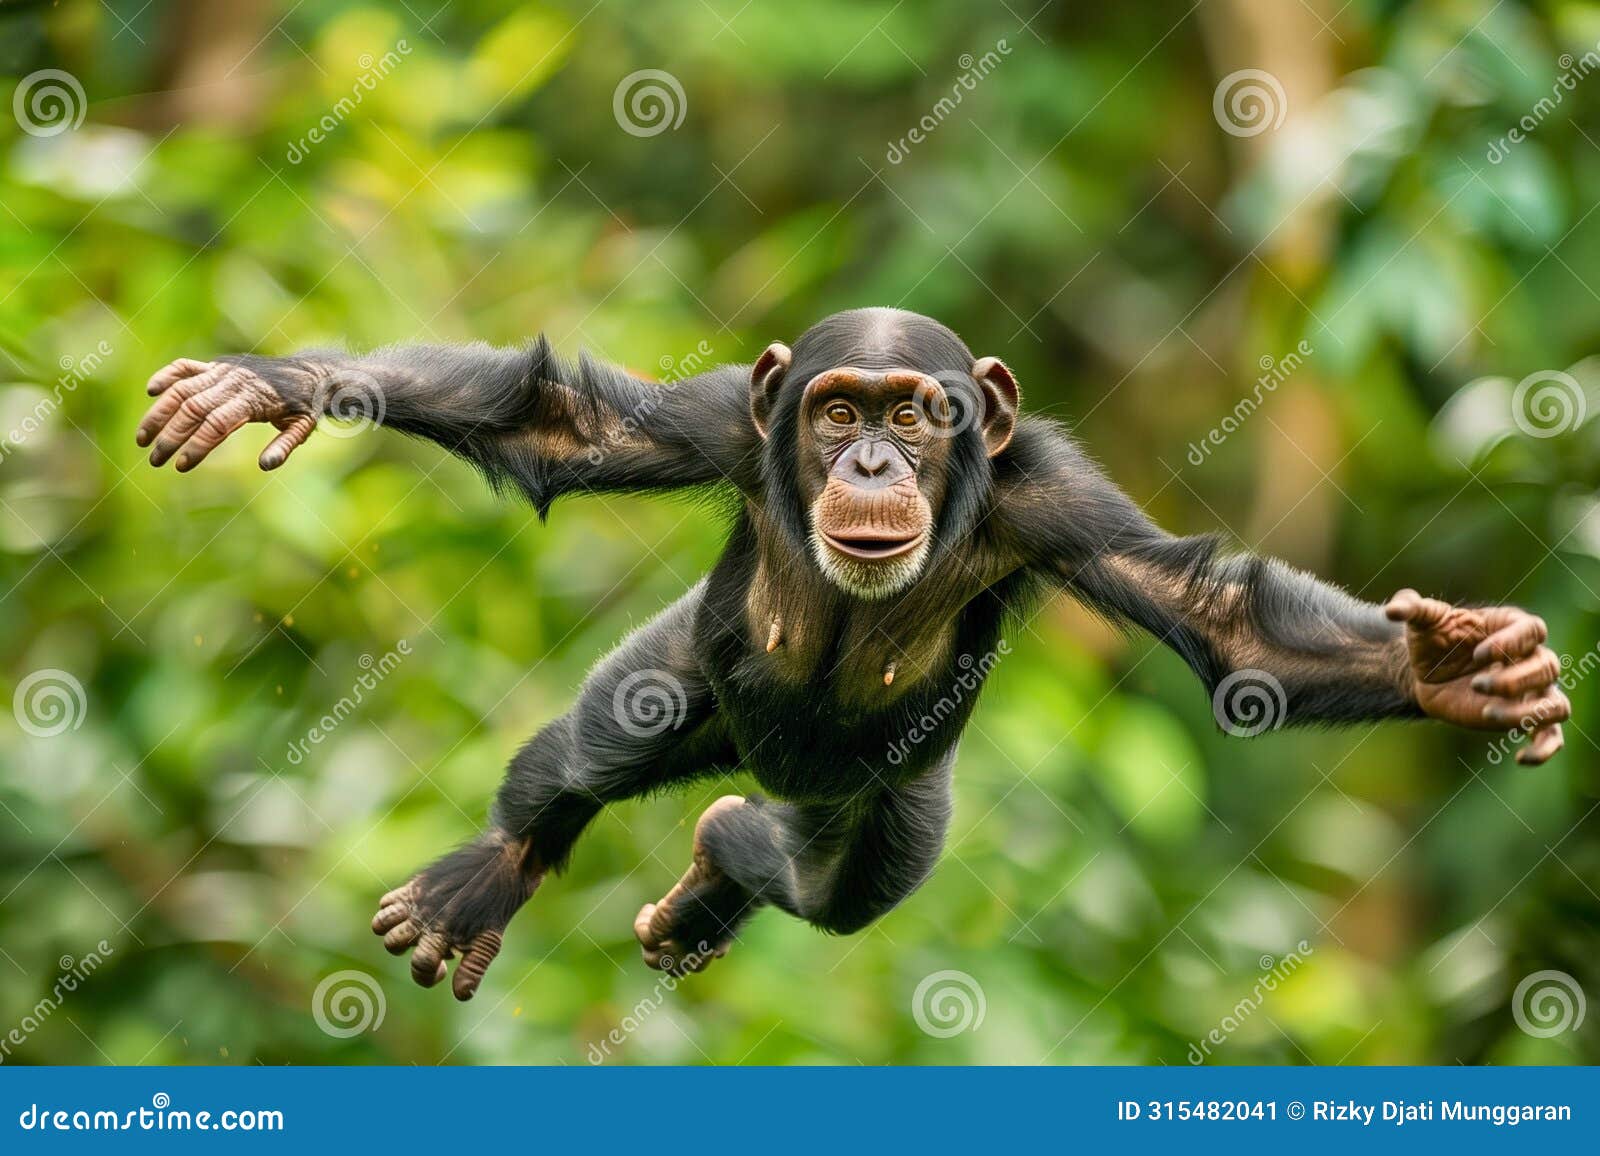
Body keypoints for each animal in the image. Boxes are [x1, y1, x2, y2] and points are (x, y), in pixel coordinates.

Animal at [135, 307, 1569, 1000]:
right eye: (835, 412)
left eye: (917, 413)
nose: (874, 457)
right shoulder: (728, 419)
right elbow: (561, 424)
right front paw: (272, 385)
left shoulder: (1054, 502)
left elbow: (1228, 629)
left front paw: (1456, 676)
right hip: (694, 682)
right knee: (601, 744)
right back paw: (494, 873)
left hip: (885, 810)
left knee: (828, 885)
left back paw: (719, 861)